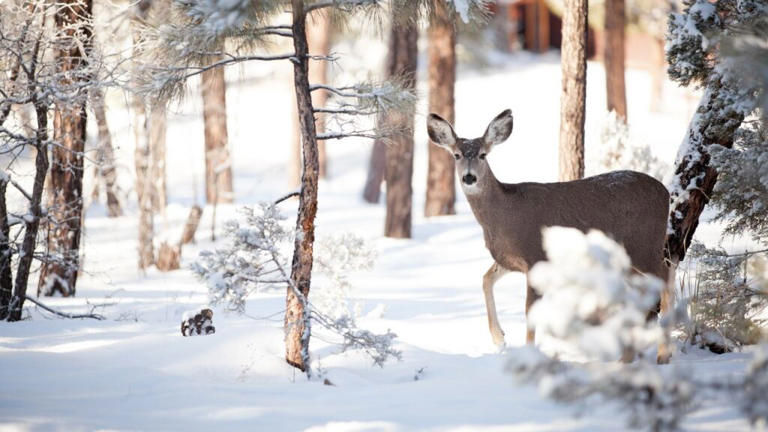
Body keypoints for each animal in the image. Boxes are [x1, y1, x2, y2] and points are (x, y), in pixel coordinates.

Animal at [427, 109, 672, 363]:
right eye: (456, 155)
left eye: (483, 155)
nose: (469, 177)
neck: (503, 217)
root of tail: (666, 192)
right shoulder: (510, 260)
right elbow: (486, 279)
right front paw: (499, 338)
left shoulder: (536, 254)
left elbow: (529, 310)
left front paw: (529, 355)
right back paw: (627, 357)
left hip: (644, 244)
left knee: (666, 279)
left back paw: (663, 354)